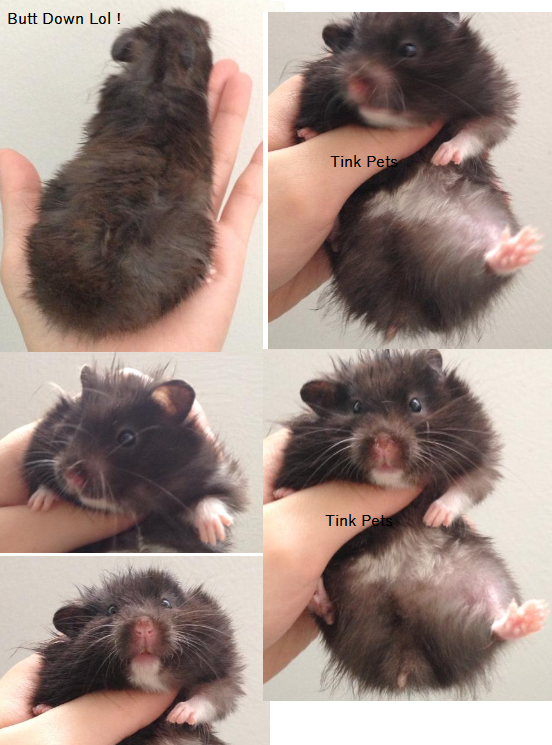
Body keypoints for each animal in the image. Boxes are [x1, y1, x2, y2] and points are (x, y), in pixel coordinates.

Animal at [23, 365, 246, 553]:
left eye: (127, 438)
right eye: (73, 426)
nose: (71, 477)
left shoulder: (217, 471)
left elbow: (214, 498)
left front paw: (214, 530)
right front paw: (40, 503)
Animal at [32, 568, 244, 745]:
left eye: (166, 603)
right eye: (111, 610)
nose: (143, 626)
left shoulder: (222, 669)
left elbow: (213, 695)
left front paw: (179, 714)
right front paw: (41, 709)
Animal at [274, 350, 547, 694]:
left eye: (415, 404)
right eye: (356, 407)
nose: (384, 443)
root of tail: (407, 663)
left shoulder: (480, 449)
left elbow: (468, 485)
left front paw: (434, 515)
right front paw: (281, 492)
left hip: (490, 580)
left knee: (494, 627)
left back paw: (529, 617)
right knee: (328, 607)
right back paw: (319, 599)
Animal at [295, 12, 542, 340]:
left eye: (409, 49)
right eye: (346, 49)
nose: (356, 83)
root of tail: (401, 311)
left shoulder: (493, 98)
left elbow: (477, 130)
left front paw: (444, 155)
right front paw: (307, 133)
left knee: (487, 269)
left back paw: (517, 249)